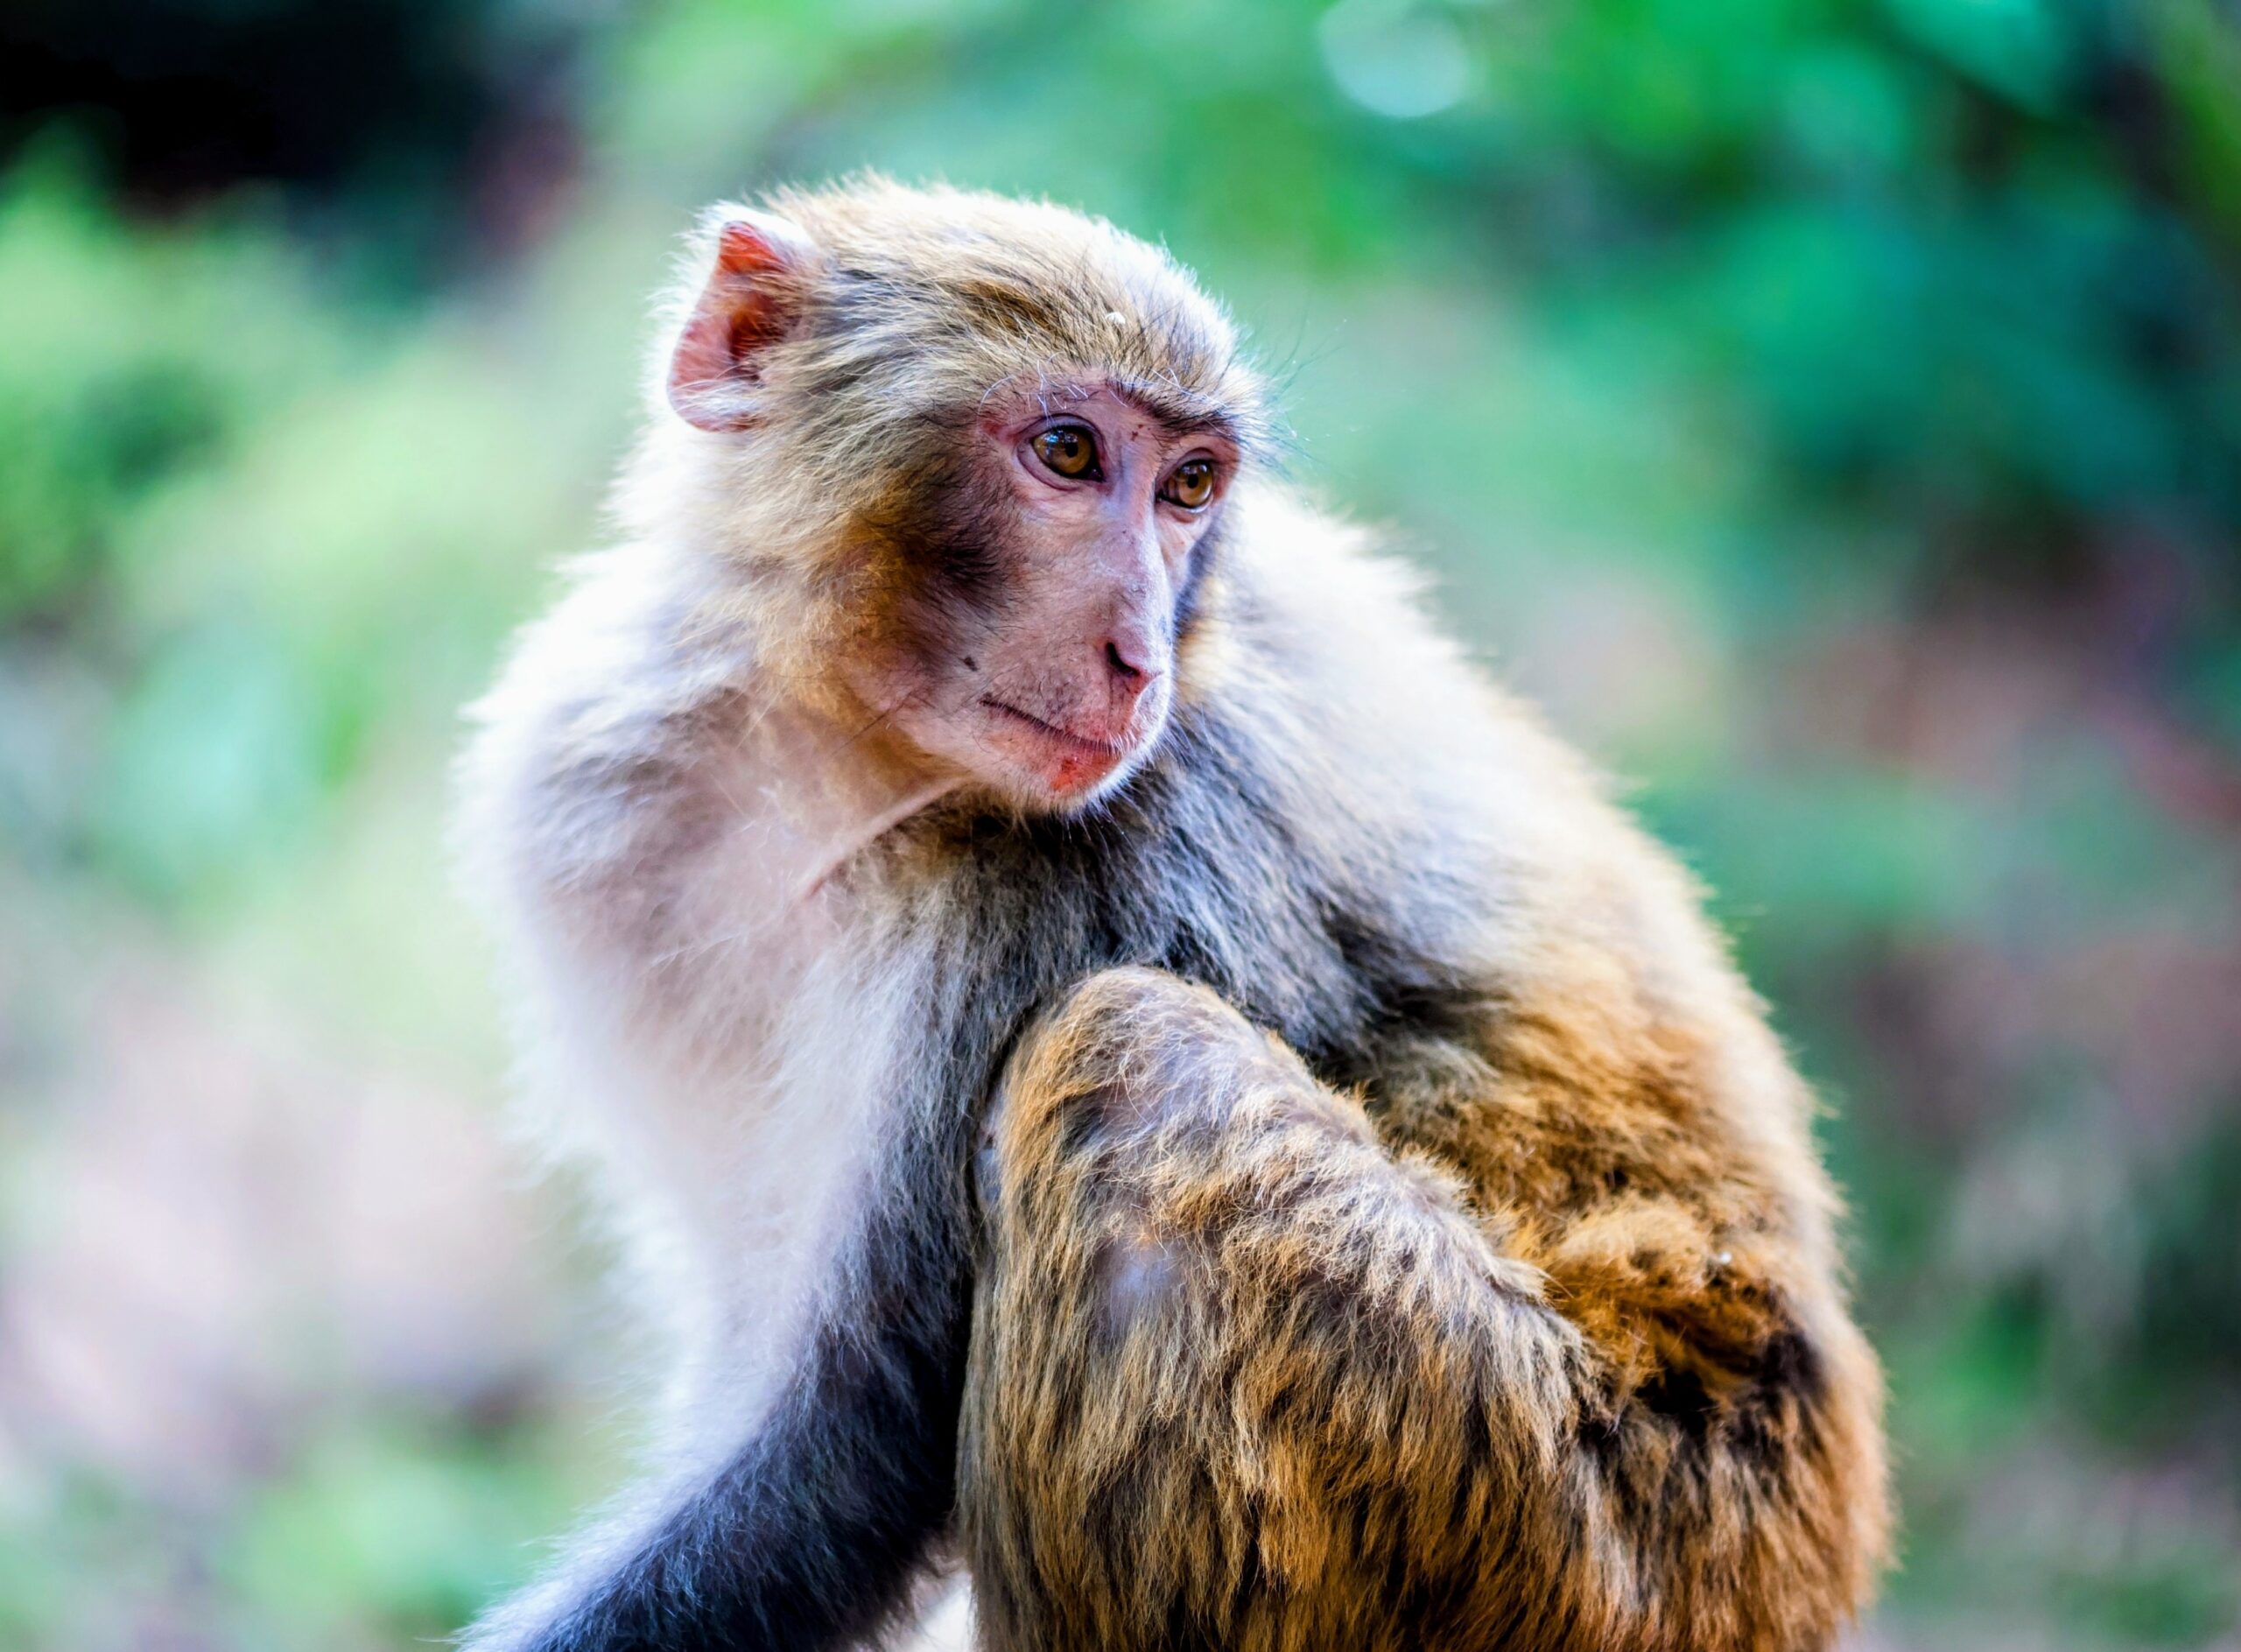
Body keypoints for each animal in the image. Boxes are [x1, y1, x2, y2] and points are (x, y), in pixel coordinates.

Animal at [452, 177, 1889, 1652]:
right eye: (1069, 452)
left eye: (1189, 486)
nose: (1137, 655)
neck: (836, 753)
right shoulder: (593, 809)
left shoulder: (1103, 874)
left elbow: (845, 1436)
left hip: (1554, 1523)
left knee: (1139, 1064)